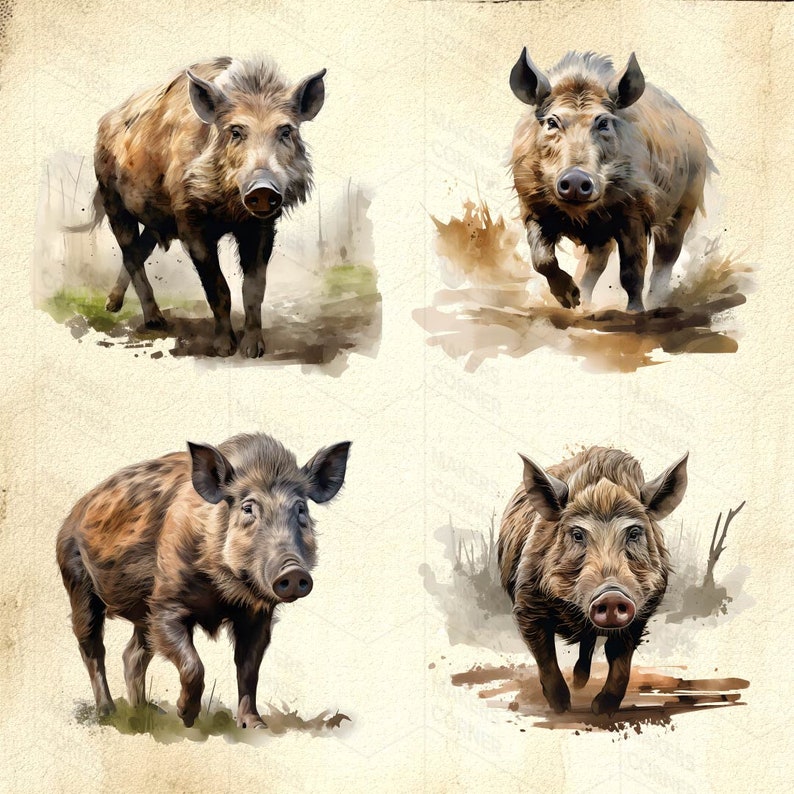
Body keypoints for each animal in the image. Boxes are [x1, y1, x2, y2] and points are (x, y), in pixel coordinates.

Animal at [56, 433, 350, 728]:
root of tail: (74, 512)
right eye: (248, 508)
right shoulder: (165, 603)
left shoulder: (257, 615)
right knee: (93, 648)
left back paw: (146, 712)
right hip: (78, 584)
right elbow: (193, 664)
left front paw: (254, 726)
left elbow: (248, 669)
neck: (220, 591)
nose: (292, 571)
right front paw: (186, 717)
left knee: (132, 655)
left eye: (301, 509)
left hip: (141, 614)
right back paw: (108, 713)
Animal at [88, 56, 326, 357]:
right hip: (112, 199)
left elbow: (254, 288)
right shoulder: (190, 222)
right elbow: (217, 287)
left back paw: (113, 305)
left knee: (140, 250)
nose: (262, 188)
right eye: (235, 132)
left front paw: (254, 351)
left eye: (285, 131)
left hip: (156, 219)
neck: (229, 210)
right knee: (130, 253)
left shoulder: (262, 225)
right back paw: (154, 321)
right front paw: (224, 349)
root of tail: (104, 123)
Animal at [498, 446, 688, 716]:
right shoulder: (526, 604)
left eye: (634, 533)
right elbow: (545, 655)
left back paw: (581, 681)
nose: (612, 594)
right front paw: (561, 708)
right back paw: (577, 685)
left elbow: (619, 660)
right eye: (578, 534)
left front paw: (601, 710)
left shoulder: (642, 612)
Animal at [509, 49, 712, 312]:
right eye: (552, 122)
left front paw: (635, 312)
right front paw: (570, 301)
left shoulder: (635, 209)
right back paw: (584, 303)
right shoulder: (531, 205)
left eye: (603, 122)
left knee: (665, 255)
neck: (581, 215)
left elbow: (633, 269)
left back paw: (656, 303)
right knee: (598, 259)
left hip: (688, 200)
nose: (576, 178)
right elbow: (542, 259)